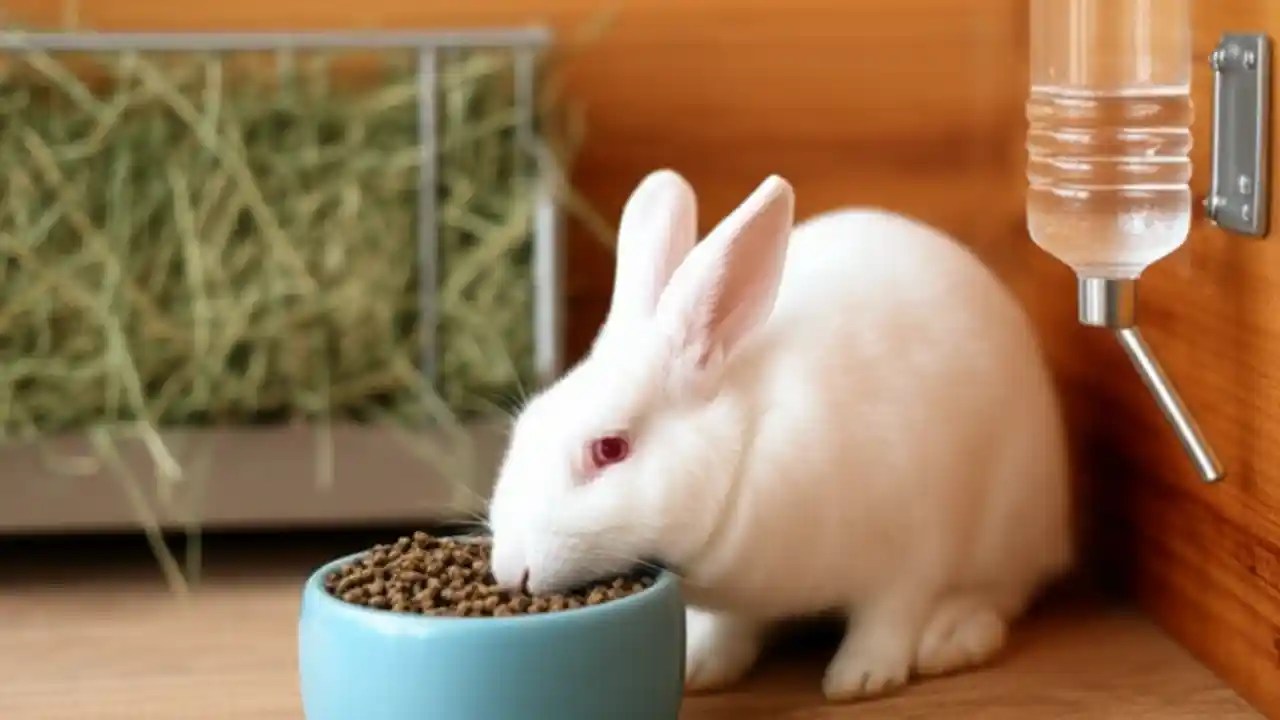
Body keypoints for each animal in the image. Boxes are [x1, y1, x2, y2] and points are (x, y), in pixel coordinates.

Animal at [485, 169, 1073, 701]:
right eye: (527, 422)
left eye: (609, 449)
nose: (512, 570)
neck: (743, 447)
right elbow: (733, 625)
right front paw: (702, 666)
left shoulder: (914, 546)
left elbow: (890, 615)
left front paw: (860, 679)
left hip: (1009, 523)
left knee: (1002, 592)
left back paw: (951, 637)